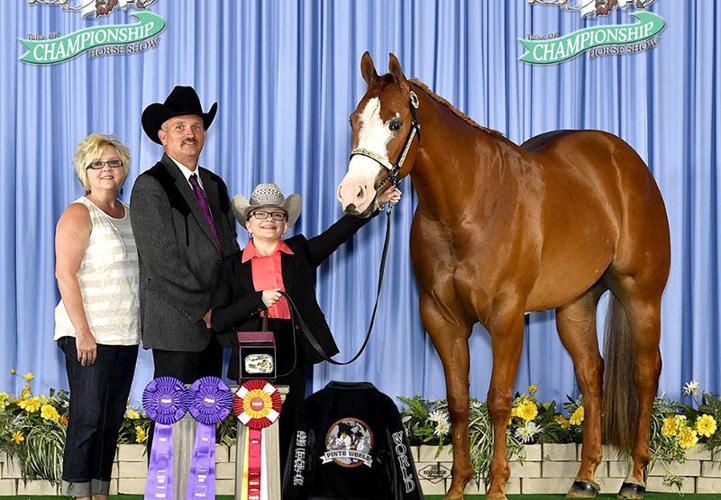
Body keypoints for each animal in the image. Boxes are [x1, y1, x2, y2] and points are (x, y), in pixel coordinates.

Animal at [337, 52, 670, 500]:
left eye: (394, 122)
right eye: (354, 120)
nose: (352, 195)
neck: (468, 207)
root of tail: (625, 160)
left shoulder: (506, 320)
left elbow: (497, 401)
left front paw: (496, 487)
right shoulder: (442, 320)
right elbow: (458, 403)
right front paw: (457, 487)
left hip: (642, 295)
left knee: (645, 373)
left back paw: (634, 478)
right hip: (576, 305)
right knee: (591, 374)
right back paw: (584, 478)